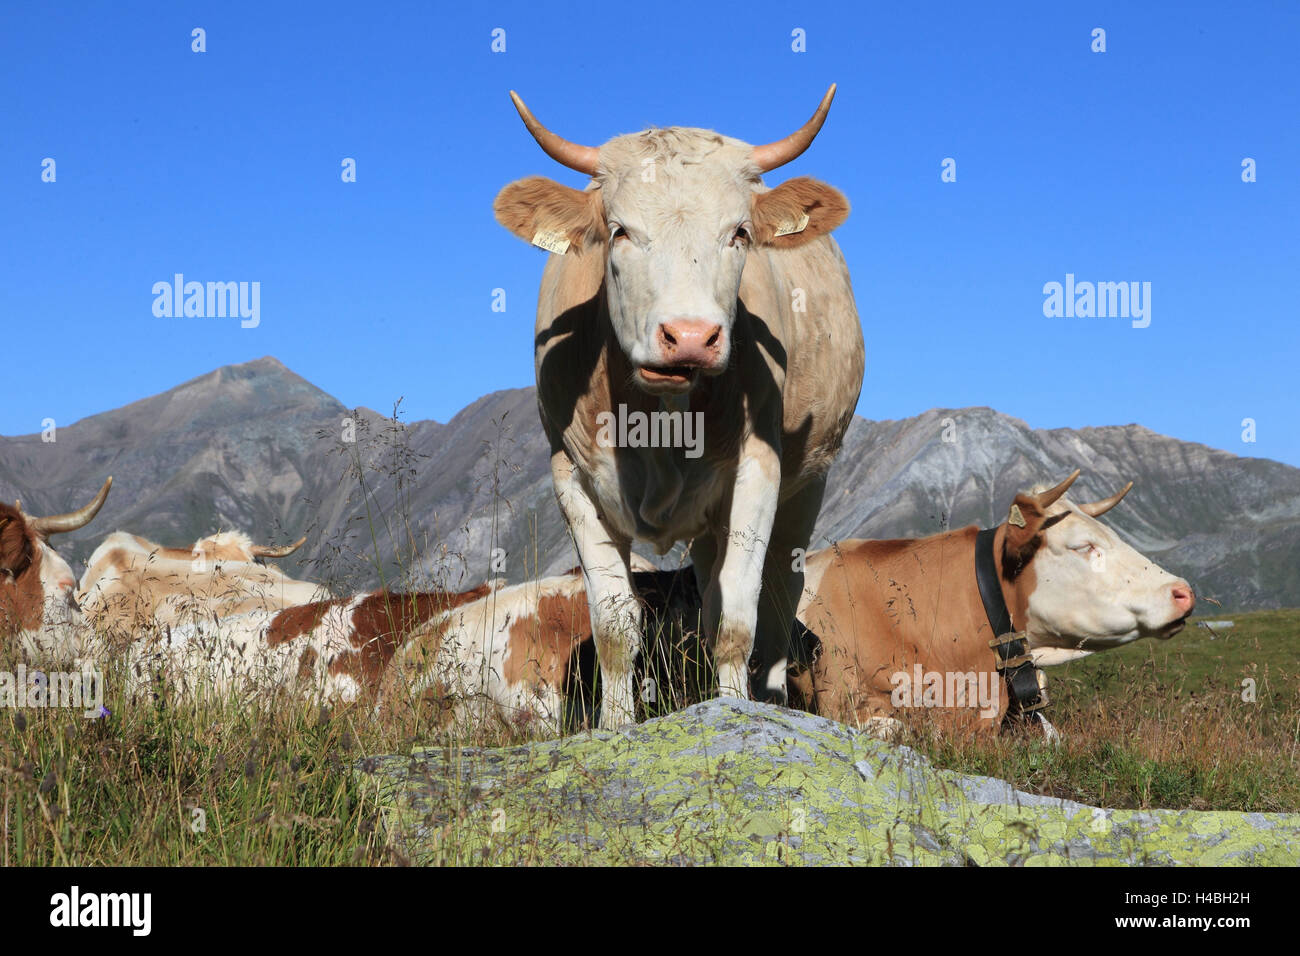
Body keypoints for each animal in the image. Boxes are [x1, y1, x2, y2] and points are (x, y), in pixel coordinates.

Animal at [494, 84, 866, 727]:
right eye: (619, 231)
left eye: (739, 232)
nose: (690, 336)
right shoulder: (571, 474)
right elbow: (615, 628)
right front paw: (615, 727)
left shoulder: (759, 469)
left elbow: (738, 622)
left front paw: (737, 714)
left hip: (807, 484)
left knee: (773, 604)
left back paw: (771, 700)